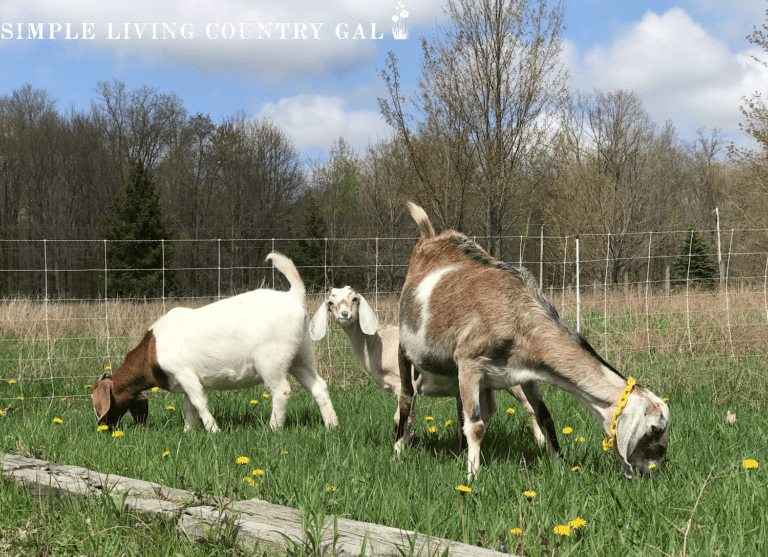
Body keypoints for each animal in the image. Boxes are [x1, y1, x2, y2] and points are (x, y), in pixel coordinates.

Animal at [91, 252, 338, 432]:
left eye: (98, 404)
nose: (102, 427)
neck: (153, 350)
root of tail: (293, 297)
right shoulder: (186, 381)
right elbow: (189, 406)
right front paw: (188, 432)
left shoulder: (184, 373)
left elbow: (199, 402)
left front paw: (213, 430)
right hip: (301, 356)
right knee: (319, 387)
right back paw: (332, 425)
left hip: (271, 360)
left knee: (282, 391)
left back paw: (273, 428)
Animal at [309, 286, 547, 448]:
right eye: (330, 303)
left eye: (354, 299)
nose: (345, 315)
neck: (376, 342)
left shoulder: (402, 383)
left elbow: (401, 418)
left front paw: (401, 446)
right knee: (489, 409)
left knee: (530, 406)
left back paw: (541, 441)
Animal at [395, 203, 669, 479]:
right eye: (656, 428)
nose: (653, 470)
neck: (517, 314)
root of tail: (430, 238)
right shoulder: (470, 362)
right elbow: (476, 426)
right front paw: (472, 476)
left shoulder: (525, 372)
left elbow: (544, 417)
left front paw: (559, 467)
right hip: (406, 352)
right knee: (407, 400)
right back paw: (398, 450)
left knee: (463, 408)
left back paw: (460, 451)